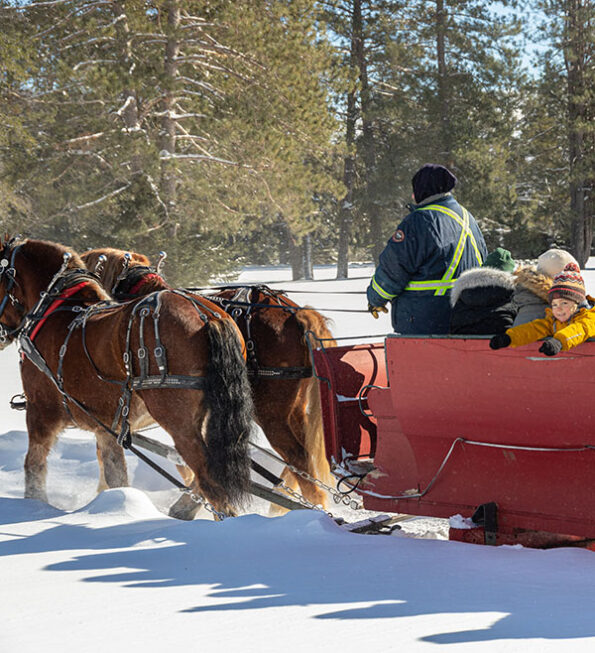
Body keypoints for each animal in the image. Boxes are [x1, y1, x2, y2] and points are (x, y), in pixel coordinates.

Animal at [0, 237, 255, 519]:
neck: (55, 310)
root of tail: (207, 316)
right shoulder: (105, 426)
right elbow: (115, 474)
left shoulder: (40, 411)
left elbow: (33, 466)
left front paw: (33, 507)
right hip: (212, 418)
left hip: (177, 419)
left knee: (209, 477)